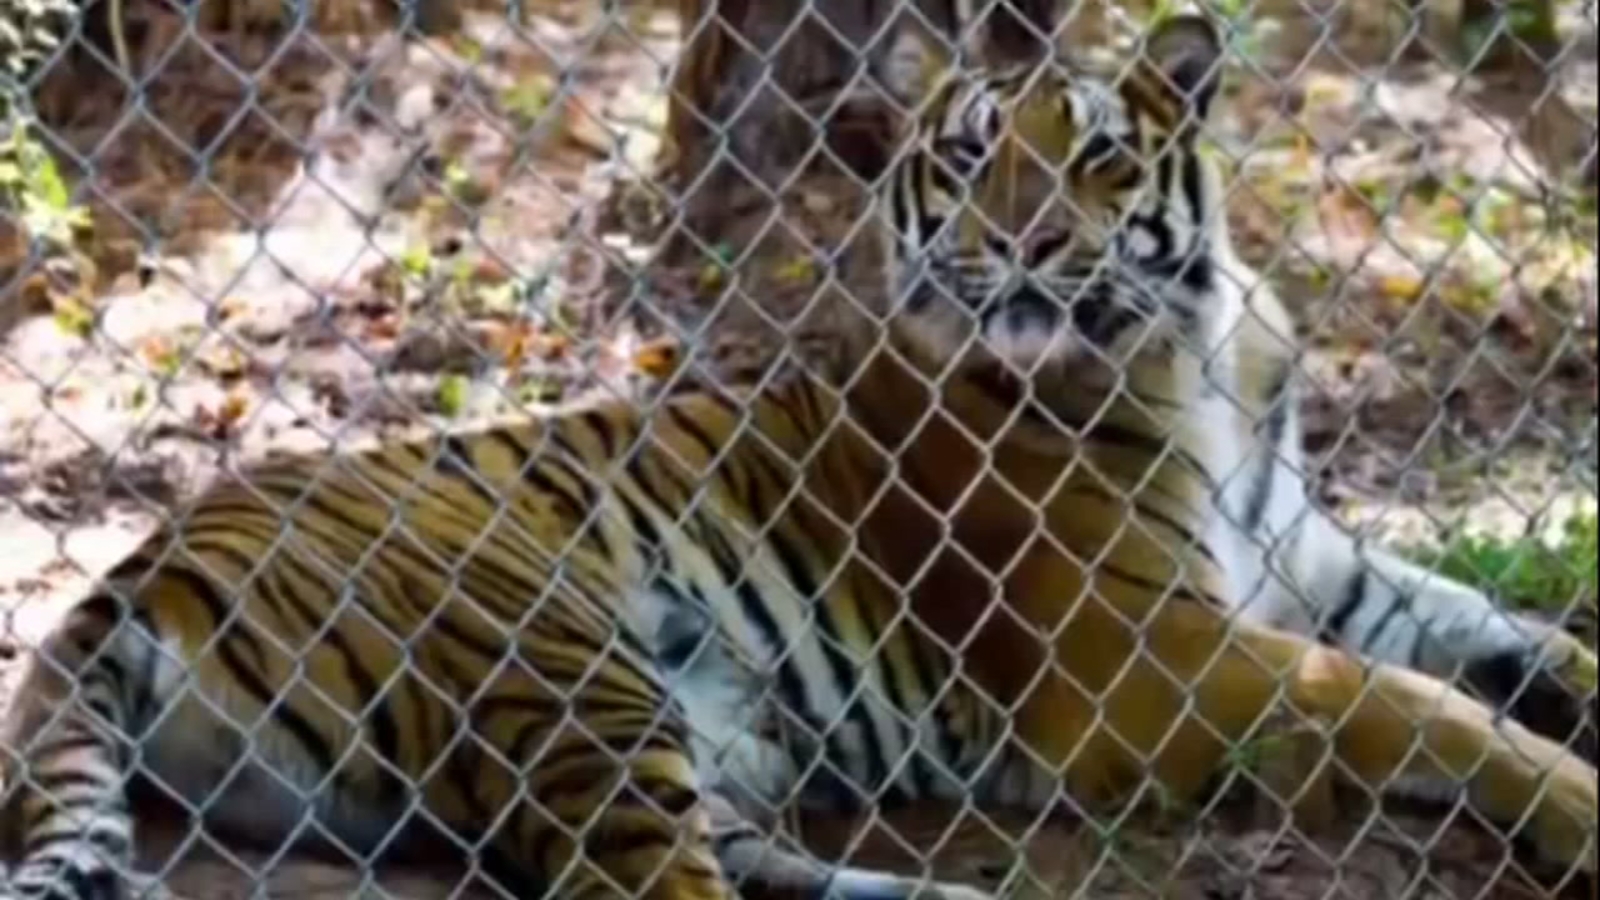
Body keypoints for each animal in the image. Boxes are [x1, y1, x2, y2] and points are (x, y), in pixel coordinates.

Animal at [1, 12, 1596, 900]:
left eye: (1091, 153)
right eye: (968, 154)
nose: (1021, 238)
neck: (1197, 345)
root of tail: (140, 562)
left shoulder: (1317, 576)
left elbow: (1509, 642)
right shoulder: (1143, 667)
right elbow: (1419, 712)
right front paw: (1575, 810)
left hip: (694, 731)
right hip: (562, 664)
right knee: (644, 894)